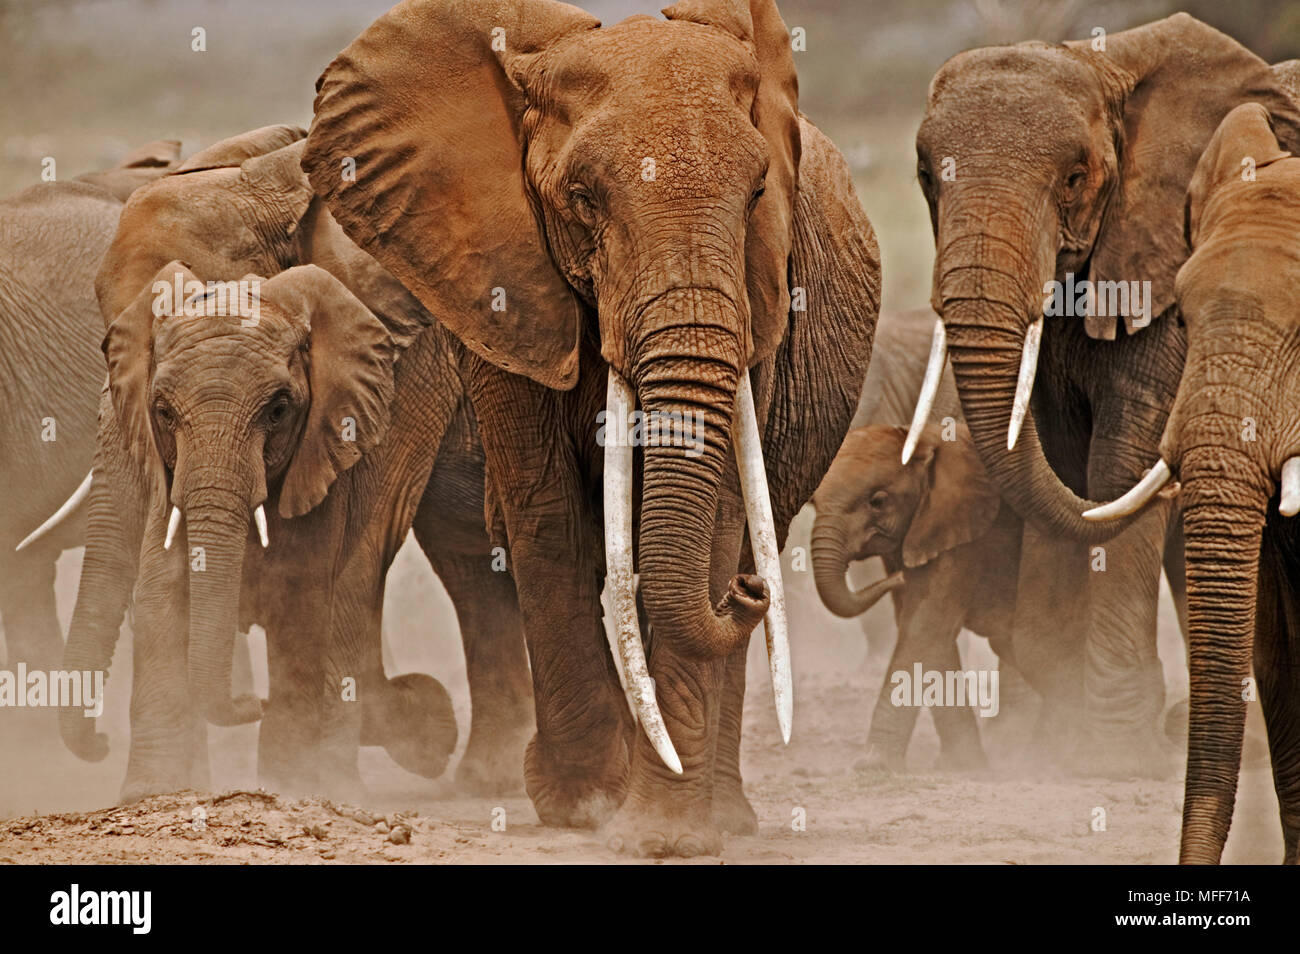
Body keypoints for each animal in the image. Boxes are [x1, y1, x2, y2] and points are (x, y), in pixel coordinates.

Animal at [54, 126, 533, 800]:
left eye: (279, 410)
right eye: (162, 411)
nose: (95, 743)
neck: (265, 185)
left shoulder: (394, 363)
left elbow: (325, 565)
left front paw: (309, 782)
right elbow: (164, 572)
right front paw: (157, 792)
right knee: (469, 556)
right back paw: (479, 776)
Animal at [302, 0, 880, 856]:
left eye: (756, 194)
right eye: (582, 200)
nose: (745, 595)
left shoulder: (765, 296)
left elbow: (716, 513)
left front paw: (662, 837)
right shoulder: (503, 283)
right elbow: (545, 512)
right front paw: (585, 806)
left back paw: (727, 812)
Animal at [812, 421, 1022, 771]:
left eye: (878, 501)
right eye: (813, 502)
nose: (896, 579)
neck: (925, 439)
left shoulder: (962, 532)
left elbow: (924, 626)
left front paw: (872, 764)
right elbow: (925, 633)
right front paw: (964, 766)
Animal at [907, 13, 1300, 775]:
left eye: (1074, 178)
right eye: (925, 175)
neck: (1104, 62)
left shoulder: (1163, 264)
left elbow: (1122, 458)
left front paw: (1112, 748)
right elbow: (1059, 457)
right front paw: (1056, 740)